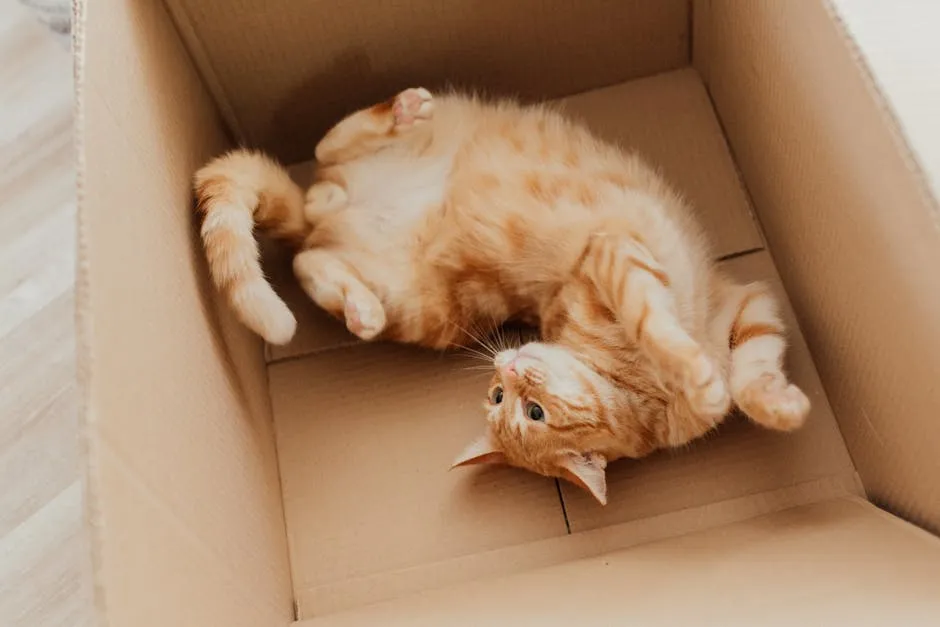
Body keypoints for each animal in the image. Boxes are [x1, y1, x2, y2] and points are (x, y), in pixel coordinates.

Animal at [193, 86, 808, 506]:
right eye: (501, 401)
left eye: (527, 409)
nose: (508, 366)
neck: (638, 392)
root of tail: (327, 218)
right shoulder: (613, 254)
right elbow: (655, 324)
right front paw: (701, 380)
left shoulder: (746, 305)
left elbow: (752, 373)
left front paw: (782, 407)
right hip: (429, 314)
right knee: (321, 177)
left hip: (416, 298)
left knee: (311, 229)